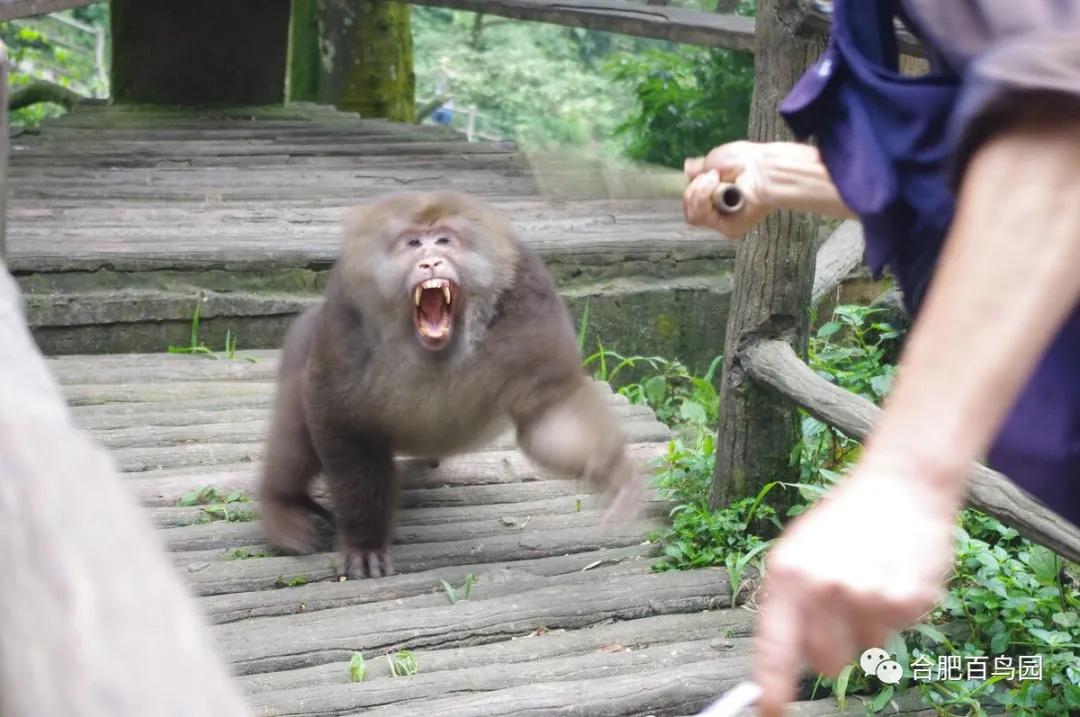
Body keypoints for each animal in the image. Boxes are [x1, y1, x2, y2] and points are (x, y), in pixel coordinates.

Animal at [259, 191, 641, 578]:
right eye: (414, 243)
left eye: (443, 240)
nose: (430, 262)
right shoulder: (346, 321)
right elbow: (344, 424)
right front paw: (365, 542)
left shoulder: (530, 307)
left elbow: (549, 411)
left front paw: (611, 471)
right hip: (303, 344)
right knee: (296, 438)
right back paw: (282, 505)